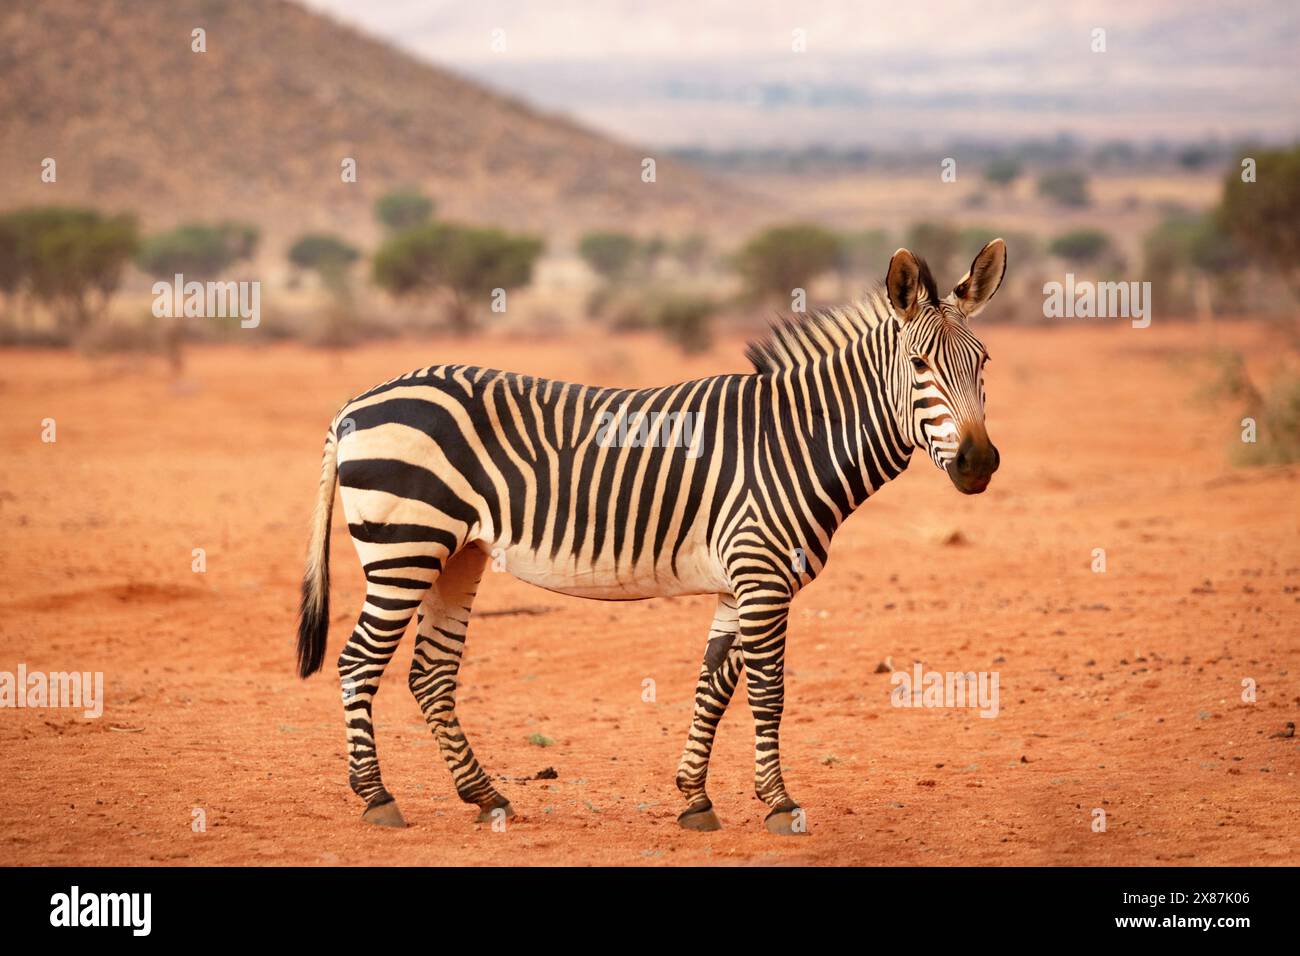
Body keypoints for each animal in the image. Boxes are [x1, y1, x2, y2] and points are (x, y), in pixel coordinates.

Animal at [296, 239, 1006, 835]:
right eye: (918, 363)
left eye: (984, 363)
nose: (979, 463)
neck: (794, 441)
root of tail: (355, 404)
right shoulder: (762, 576)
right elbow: (769, 691)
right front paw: (779, 805)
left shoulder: (738, 583)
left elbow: (713, 687)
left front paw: (695, 798)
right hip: (405, 546)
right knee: (359, 662)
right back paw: (378, 798)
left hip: (457, 554)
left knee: (430, 673)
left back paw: (485, 795)